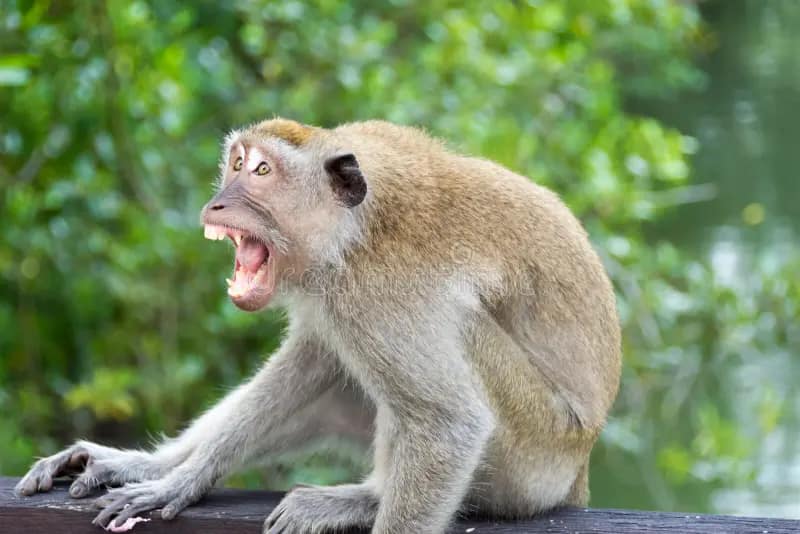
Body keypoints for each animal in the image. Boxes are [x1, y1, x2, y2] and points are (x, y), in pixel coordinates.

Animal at [16, 118, 622, 533]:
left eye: (263, 172)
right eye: (236, 163)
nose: (219, 203)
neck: (350, 231)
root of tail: (576, 470)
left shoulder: (377, 295)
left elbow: (449, 423)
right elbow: (310, 362)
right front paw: (179, 476)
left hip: (533, 454)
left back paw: (366, 498)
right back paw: (151, 464)